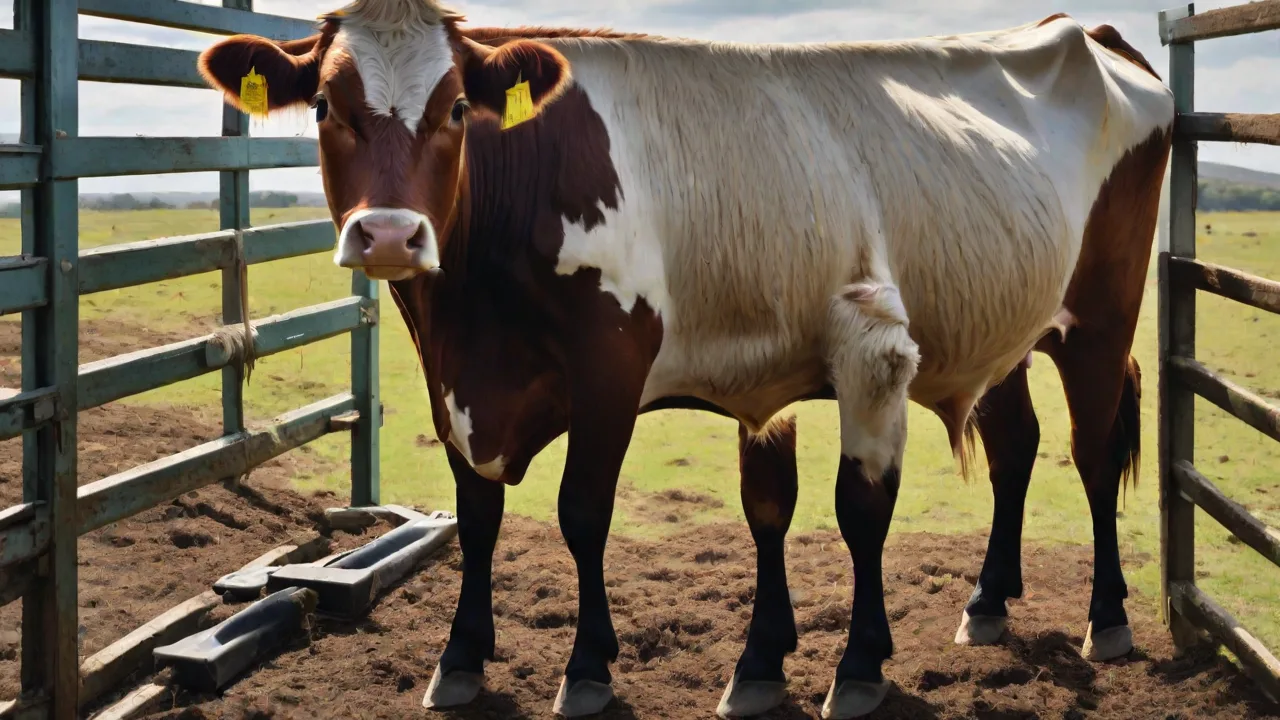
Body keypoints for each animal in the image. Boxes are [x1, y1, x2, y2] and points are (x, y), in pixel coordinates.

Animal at [196, 1, 1174, 717]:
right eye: (326, 107)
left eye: (457, 110)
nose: (392, 234)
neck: (473, 317)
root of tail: (1081, 27)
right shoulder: (461, 386)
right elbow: (484, 514)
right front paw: (463, 654)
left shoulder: (615, 370)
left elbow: (590, 512)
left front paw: (594, 667)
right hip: (1005, 326)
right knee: (1016, 448)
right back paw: (989, 602)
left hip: (1100, 318)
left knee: (1091, 454)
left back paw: (1109, 617)